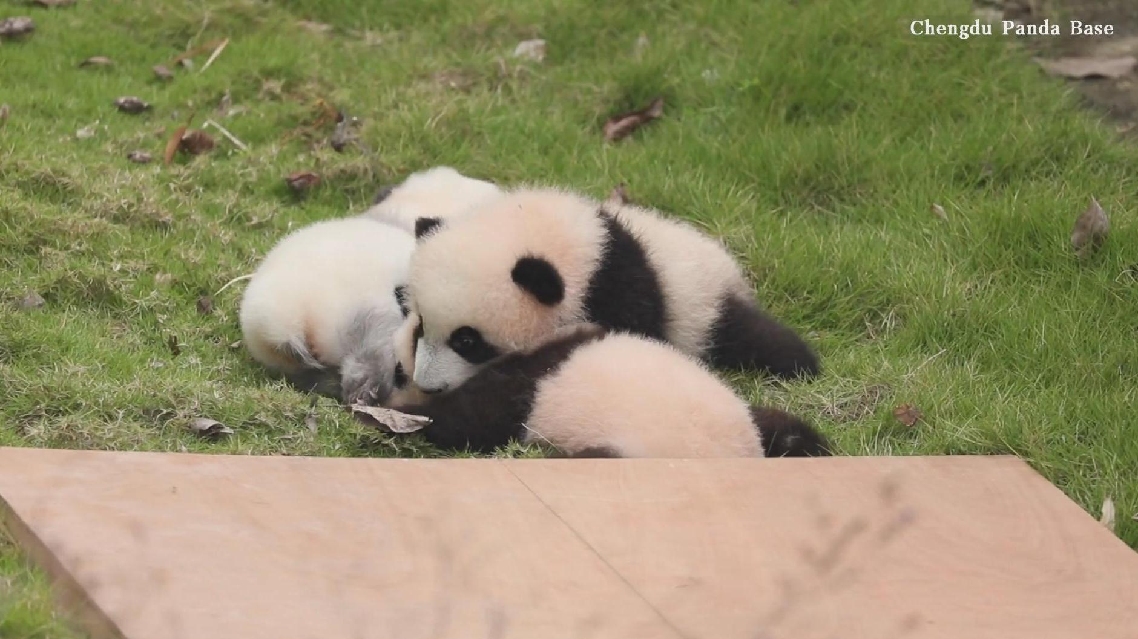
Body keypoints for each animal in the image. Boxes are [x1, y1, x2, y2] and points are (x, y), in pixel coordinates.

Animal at [403, 186, 820, 394]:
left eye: (467, 341)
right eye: (421, 326)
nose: (429, 386)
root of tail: (730, 268)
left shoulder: (617, 292)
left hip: (702, 303)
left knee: (745, 335)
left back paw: (799, 363)